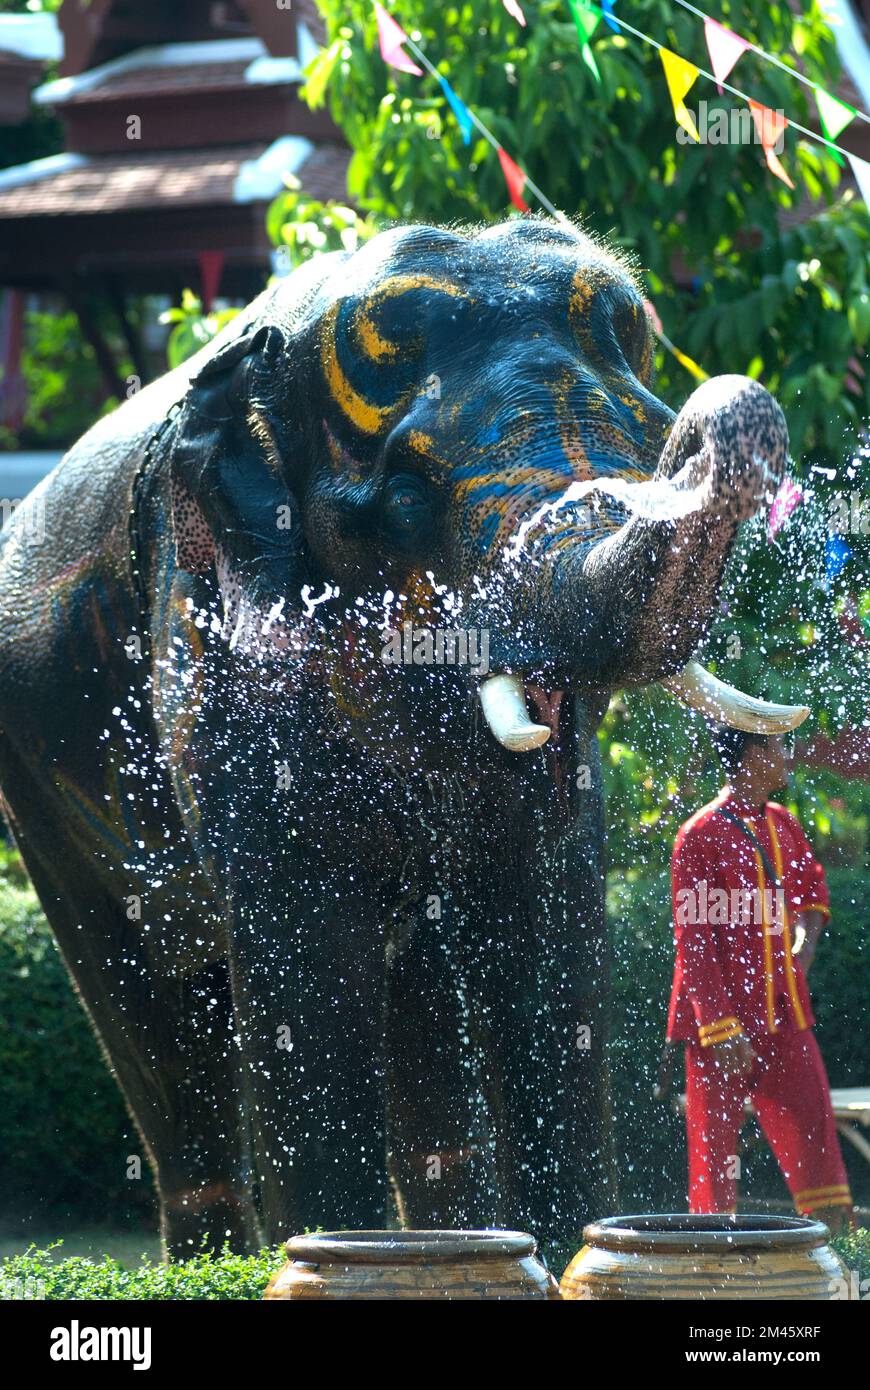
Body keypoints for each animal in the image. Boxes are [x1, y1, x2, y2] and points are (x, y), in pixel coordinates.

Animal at [0, 218, 805, 1259]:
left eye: (650, 437)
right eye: (409, 501)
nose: (729, 407)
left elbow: (545, 915)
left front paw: (575, 1246)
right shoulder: (210, 632)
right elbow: (305, 955)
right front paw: (321, 1252)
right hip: (36, 780)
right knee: (146, 1003)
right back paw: (220, 1259)